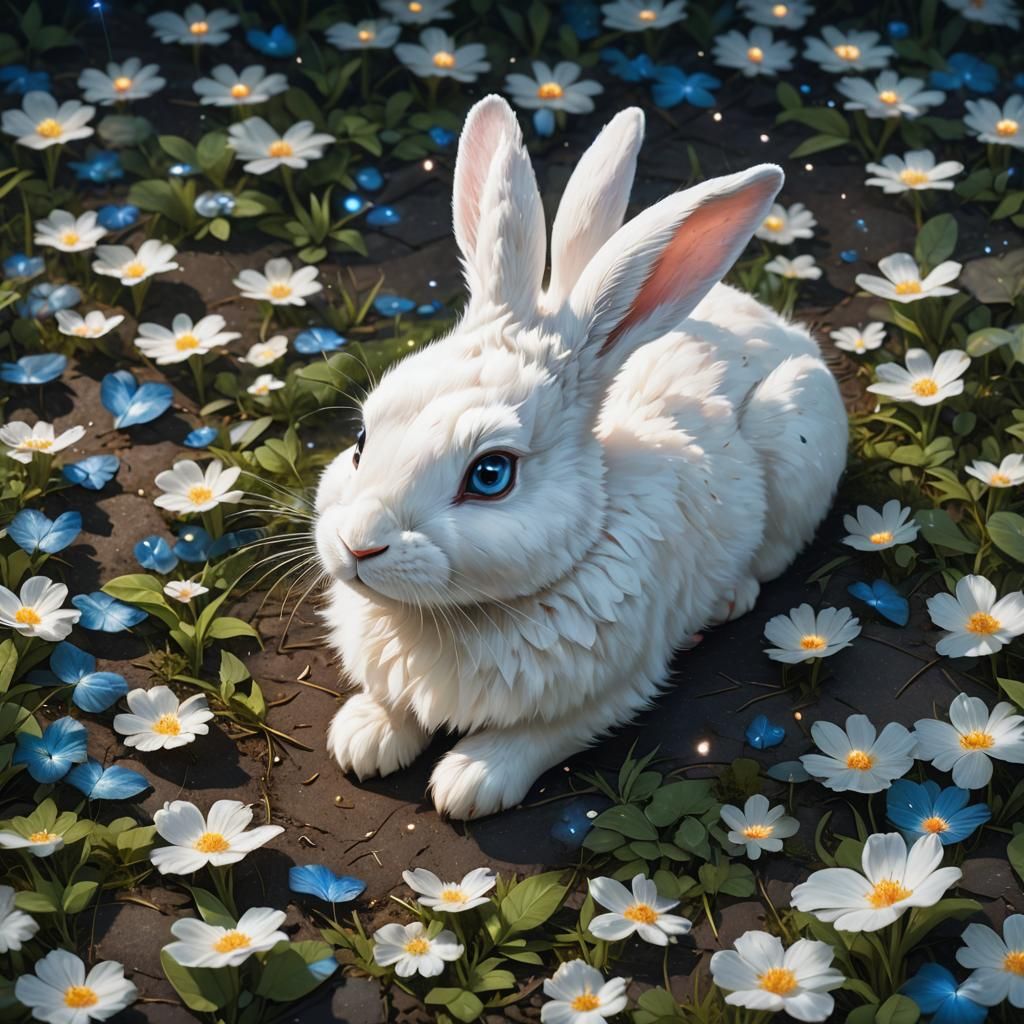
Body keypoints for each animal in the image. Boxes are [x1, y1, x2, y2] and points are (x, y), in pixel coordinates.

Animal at [314, 95, 848, 819]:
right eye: (361, 442)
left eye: (491, 475)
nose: (359, 545)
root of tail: (782, 327)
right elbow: (390, 702)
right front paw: (363, 738)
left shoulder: (613, 688)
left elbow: (540, 735)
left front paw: (469, 781)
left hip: (795, 432)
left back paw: (727, 599)